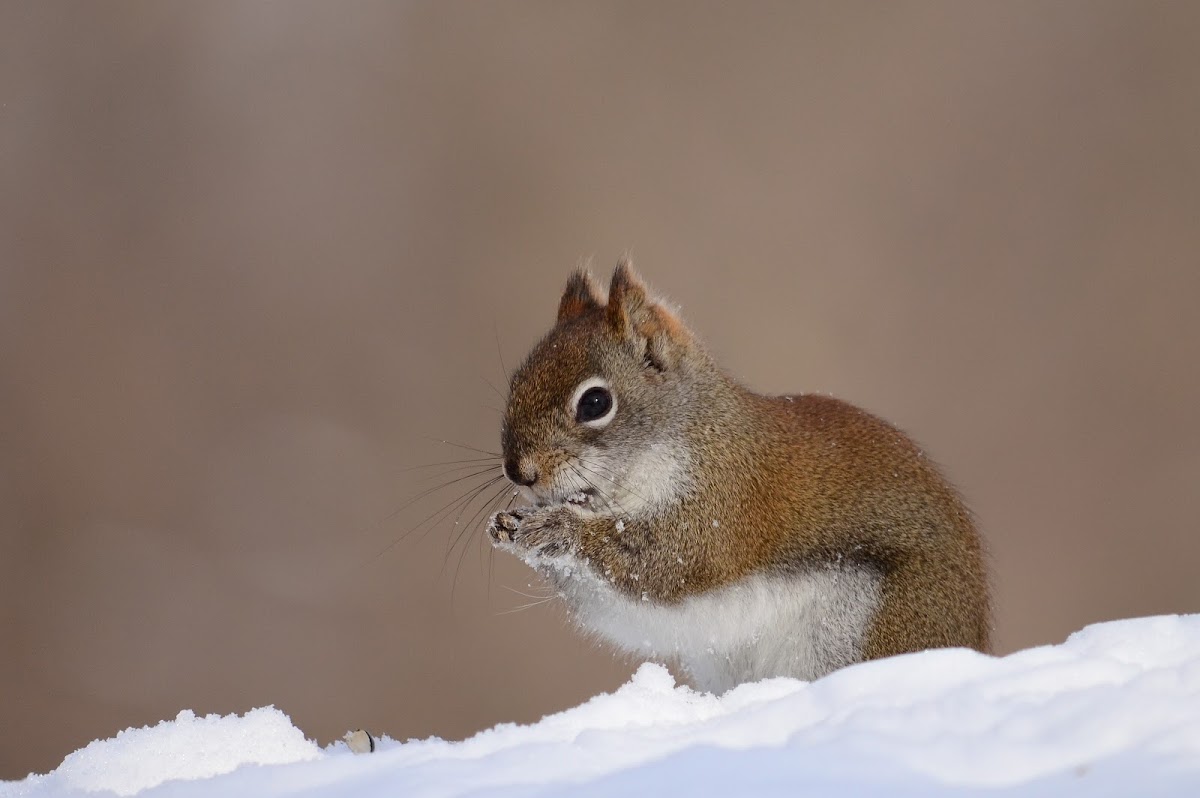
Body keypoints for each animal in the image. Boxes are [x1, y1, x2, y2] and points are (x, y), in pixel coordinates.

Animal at [487, 260, 990, 692]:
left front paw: (555, 527)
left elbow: (662, 564)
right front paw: (508, 526)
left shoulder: (725, 506)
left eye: (595, 403)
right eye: (517, 382)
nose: (519, 471)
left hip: (867, 629)